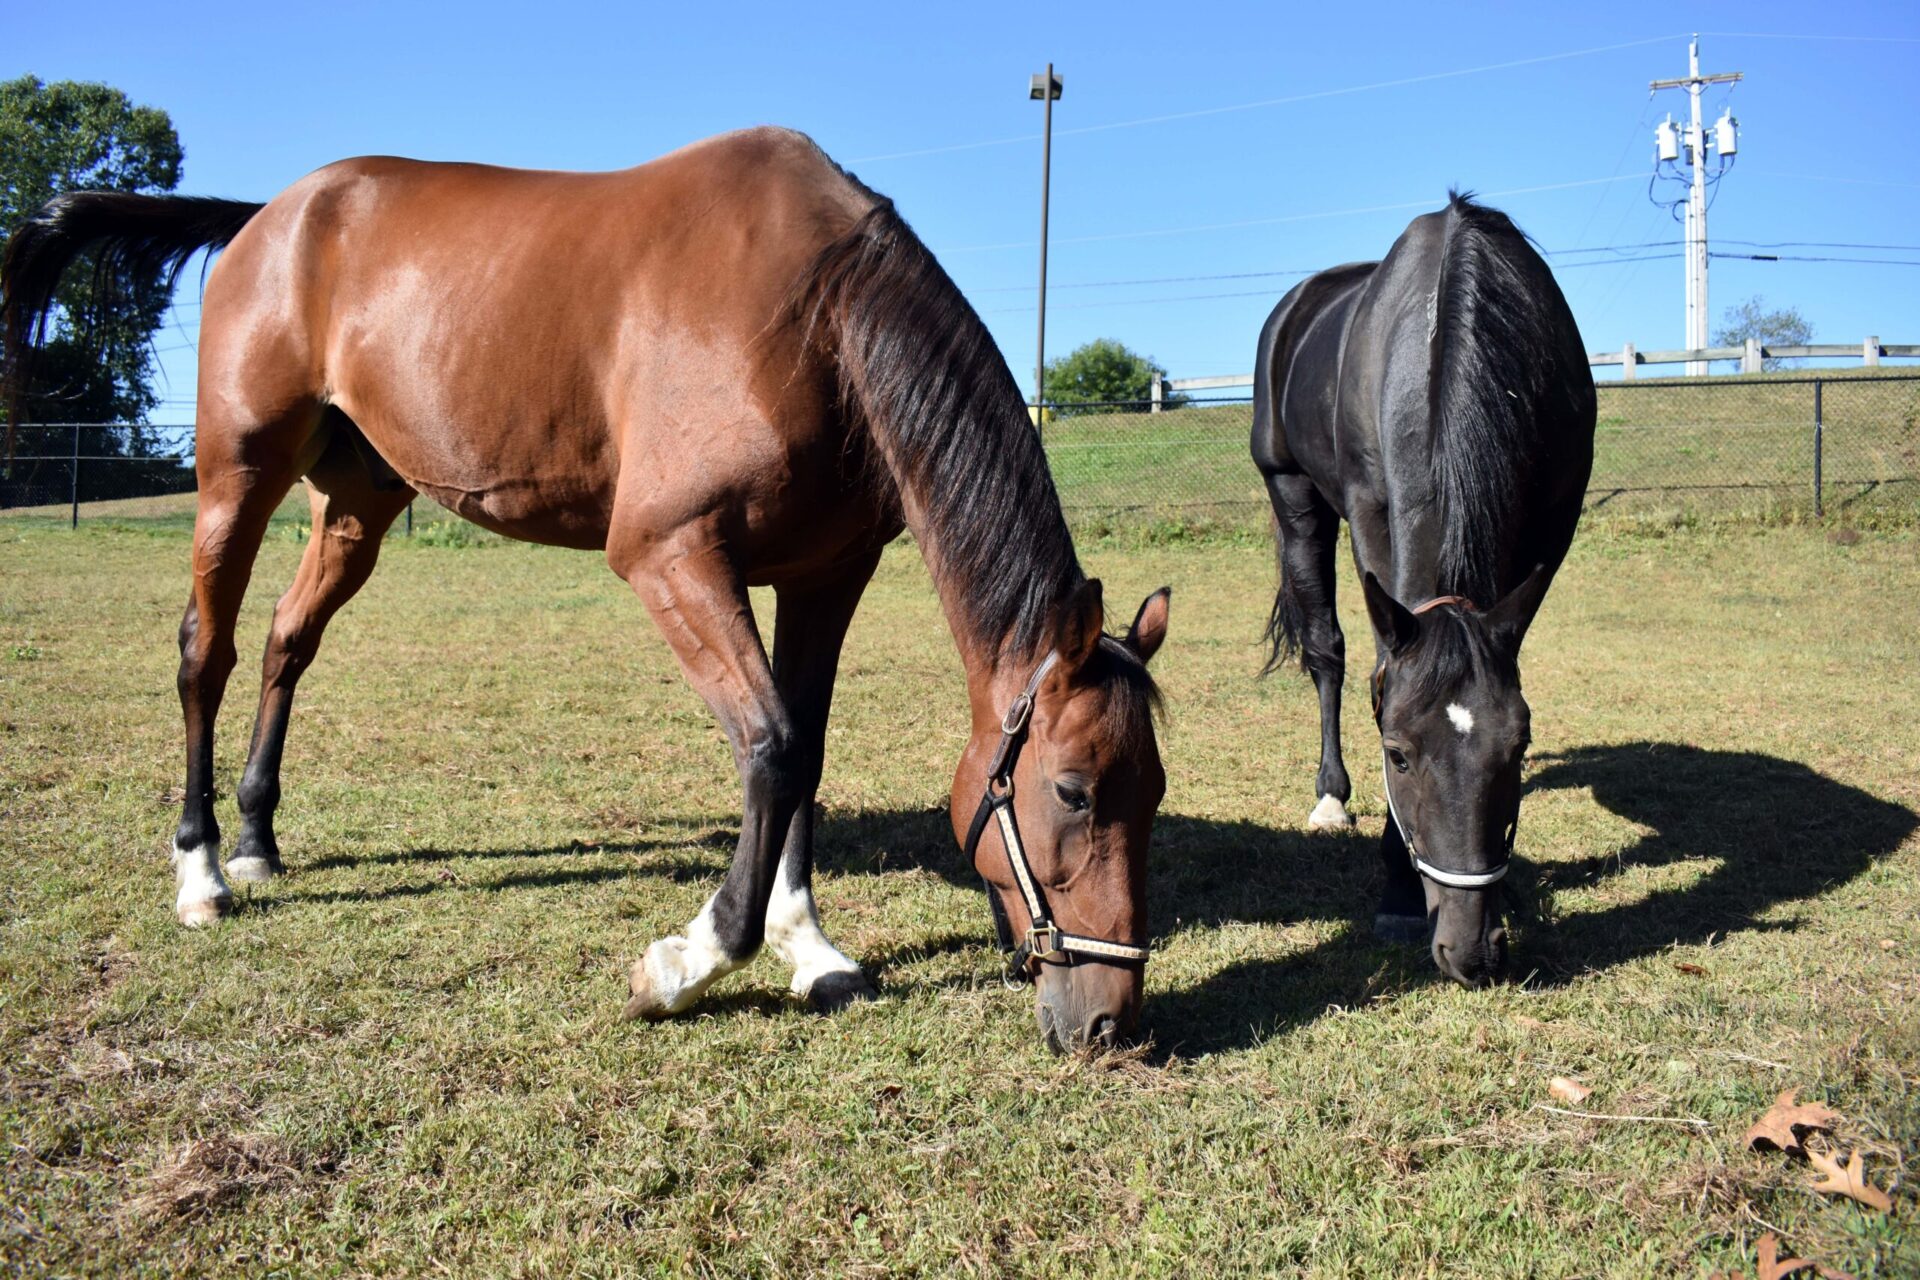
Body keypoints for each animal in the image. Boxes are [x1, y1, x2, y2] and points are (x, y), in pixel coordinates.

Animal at [2, 127, 1171, 1052]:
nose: (1110, 1023)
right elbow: (774, 747)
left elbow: (807, 754)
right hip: (237, 476)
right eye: (1072, 791)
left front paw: (807, 945)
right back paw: (200, 871)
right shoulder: (672, 554)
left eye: (1152, 790)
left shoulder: (822, 574)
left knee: (289, 641)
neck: (819, 313)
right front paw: (692, 959)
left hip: (357, 502)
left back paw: (255, 843)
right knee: (208, 651)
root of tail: (270, 216)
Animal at [1249, 192, 1595, 986]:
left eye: (1520, 746)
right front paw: (1399, 890)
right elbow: (1378, 664)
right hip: (1295, 496)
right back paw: (1331, 796)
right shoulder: (1373, 515)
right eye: (1398, 752)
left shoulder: (1553, 528)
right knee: (1328, 651)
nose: (1471, 949)